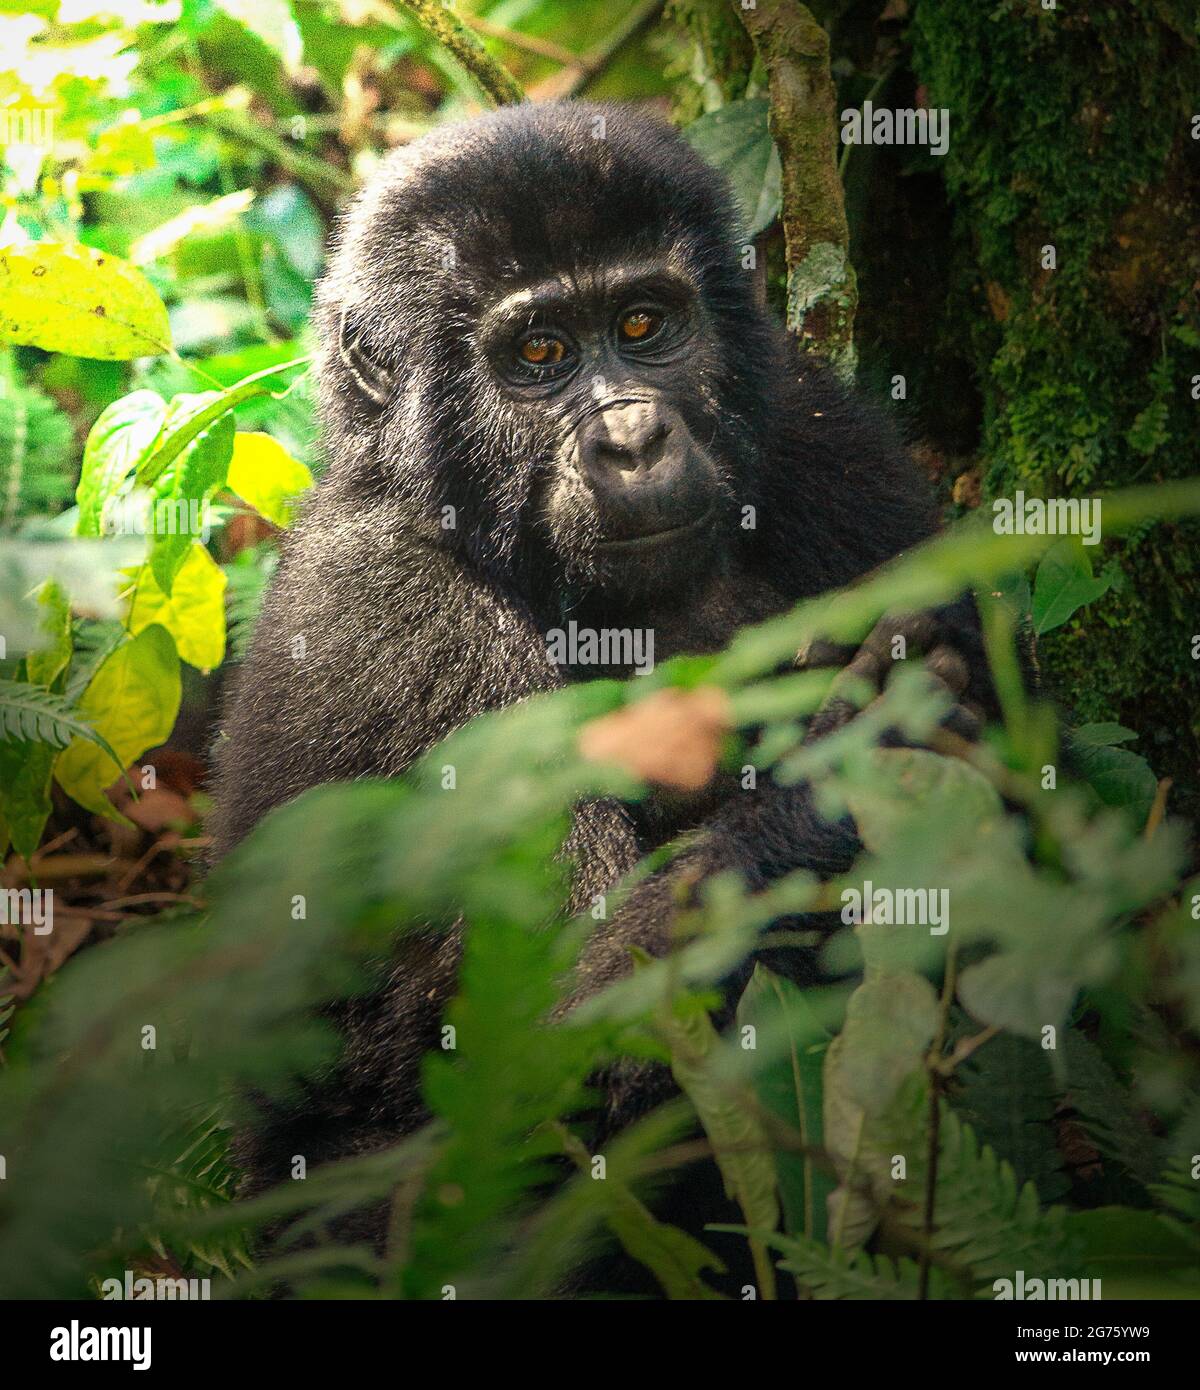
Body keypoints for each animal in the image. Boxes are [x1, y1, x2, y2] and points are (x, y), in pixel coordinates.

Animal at [209, 100, 995, 1289]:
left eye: (642, 325)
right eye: (539, 353)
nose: (633, 438)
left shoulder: (818, 433)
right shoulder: (395, 618)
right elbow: (548, 1057)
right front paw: (838, 770)